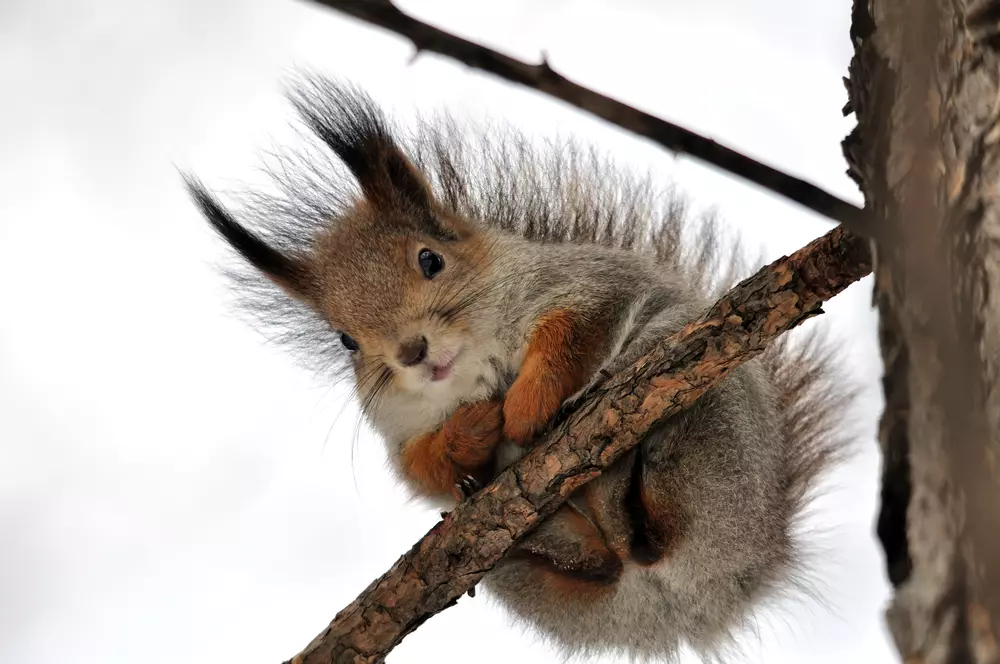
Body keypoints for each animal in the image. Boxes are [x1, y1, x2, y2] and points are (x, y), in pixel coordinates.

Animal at [186, 76, 860, 664]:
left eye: (430, 259)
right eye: (346, 339)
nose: (411, 352)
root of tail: (719, 592)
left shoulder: (591, 288)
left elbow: (571, 334)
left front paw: (522, 410)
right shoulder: (399, 431)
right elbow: (422, 464)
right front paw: (473, 431)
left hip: (713, 436)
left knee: (659, 513)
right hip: (525, 577)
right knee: (603, 561)